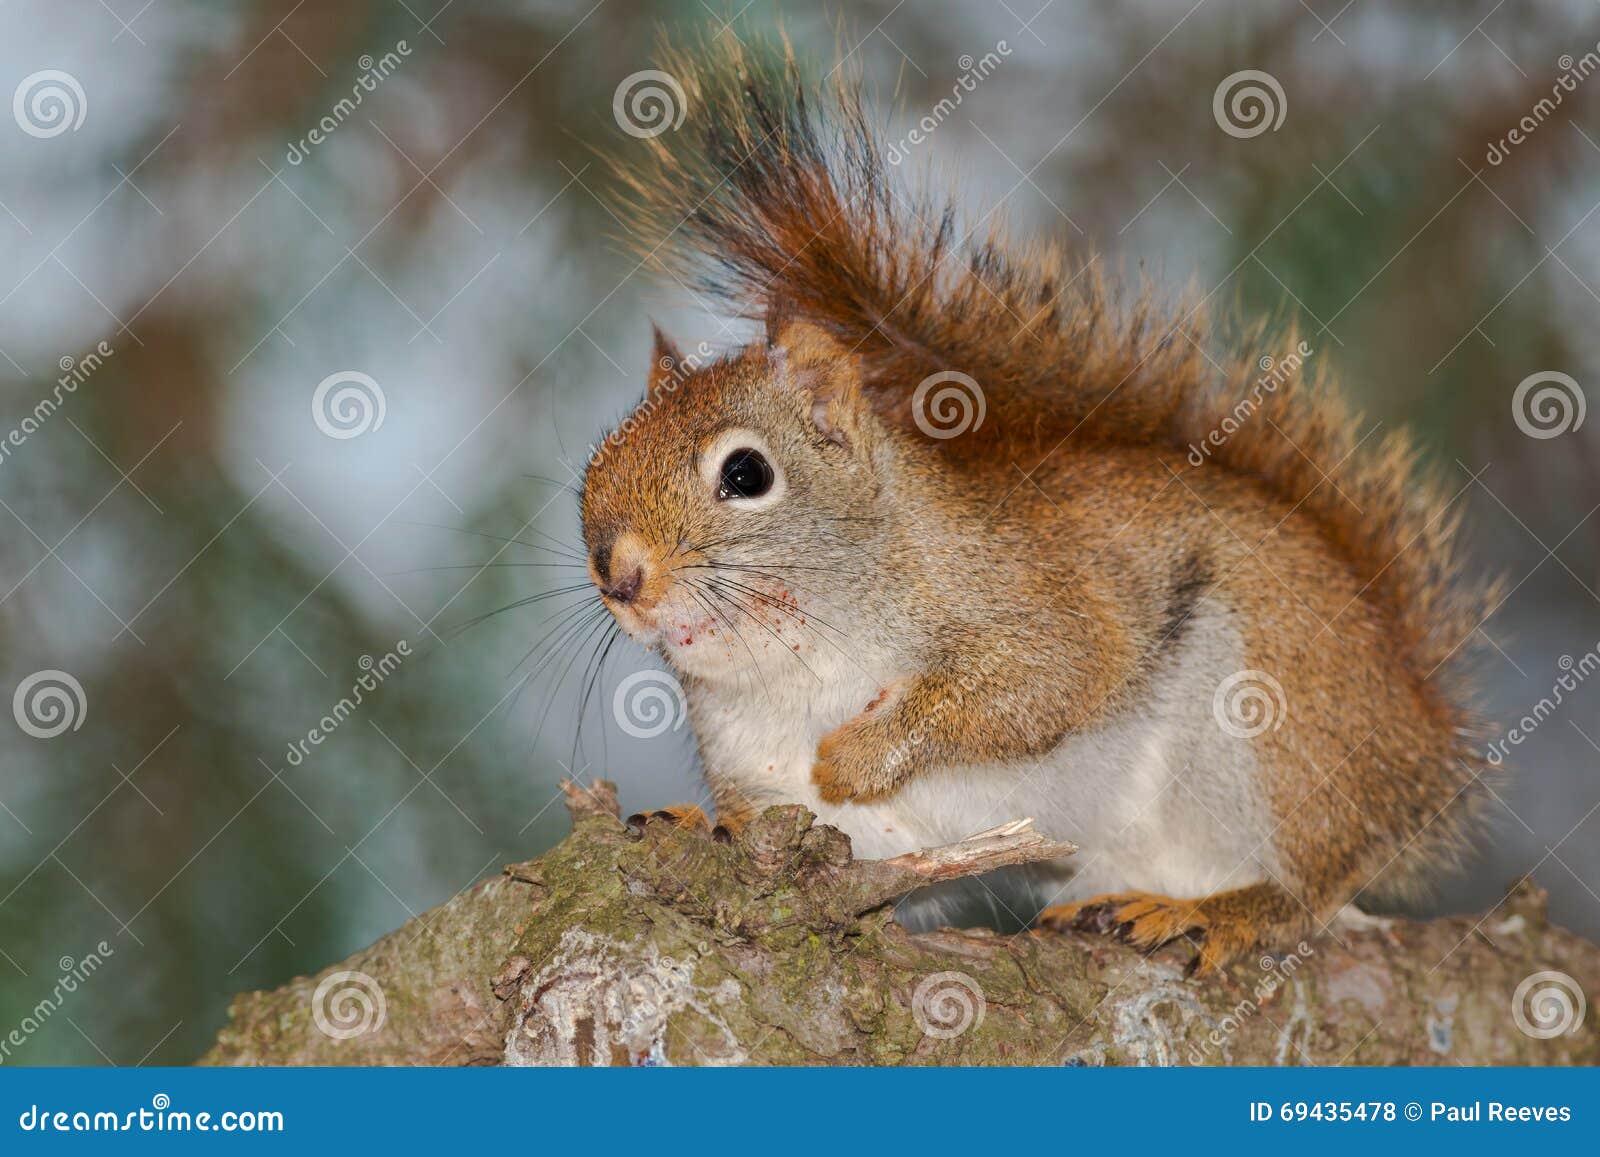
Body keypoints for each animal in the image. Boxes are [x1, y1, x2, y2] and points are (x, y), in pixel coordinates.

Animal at [576, 35, 1495, 973]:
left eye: (746, 474)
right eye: (595, 467)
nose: (619, 576)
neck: (794, 665)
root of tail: (1418, 741)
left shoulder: (1028, 600)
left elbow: (1043, 680)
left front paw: (863, 753)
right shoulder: (796, 799)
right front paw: (702, 826)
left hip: (1277, 719)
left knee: (1309, 888)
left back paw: (1223, 912)